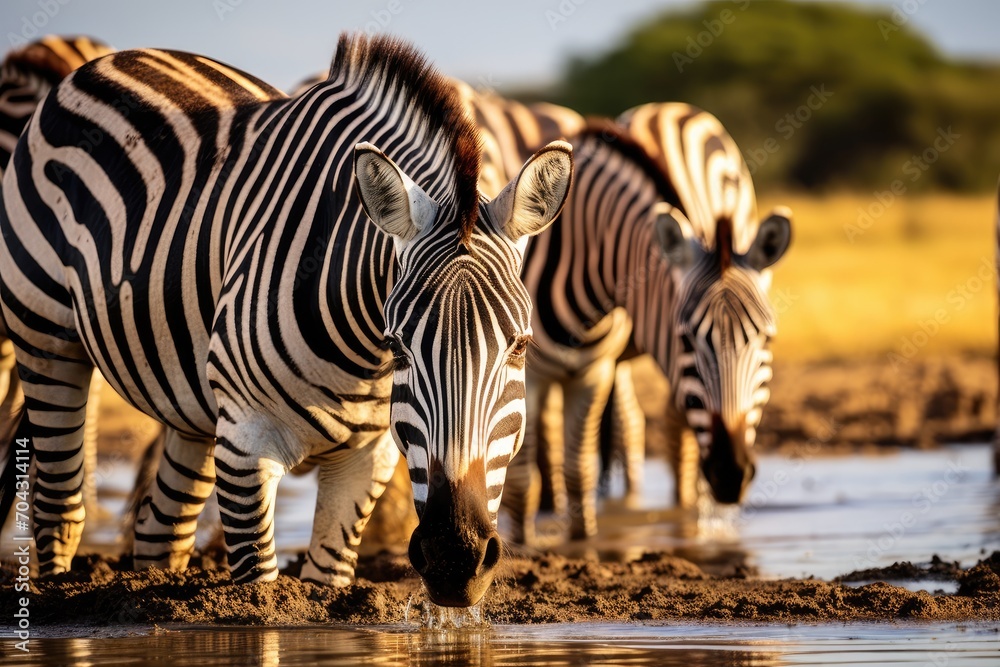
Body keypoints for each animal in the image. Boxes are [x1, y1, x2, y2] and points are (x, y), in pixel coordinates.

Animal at [0, 34, 572, 607]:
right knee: (59, 507)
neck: (363, 352)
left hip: (192, 406)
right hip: (45, 337)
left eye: (519, 347)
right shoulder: (246, 445)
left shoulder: (366, 458)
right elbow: (259, 589)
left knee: (161, 528)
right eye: (399, 346)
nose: (456, 559)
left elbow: (327, 571)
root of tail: (113, 57)